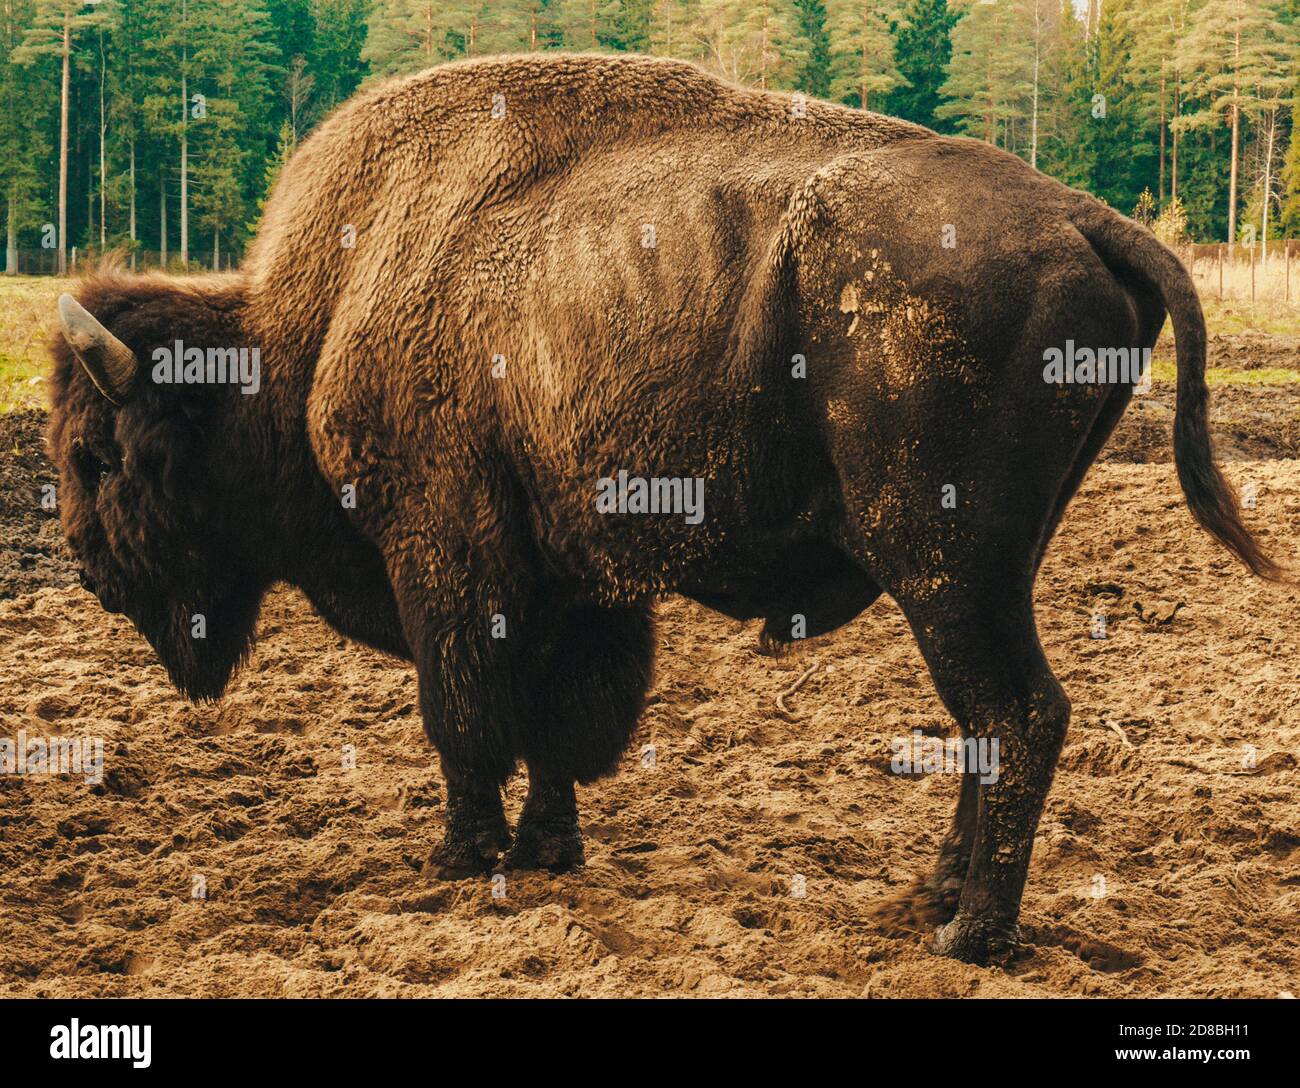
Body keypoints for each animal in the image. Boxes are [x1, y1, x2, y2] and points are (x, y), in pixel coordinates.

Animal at [48, 54, 1281, 964]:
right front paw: (547, 849)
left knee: (1019, 711)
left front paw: (460, 858)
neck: (304, 329)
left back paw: (970, 934)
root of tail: (1085, 220)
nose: (87, 570)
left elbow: (466, 714)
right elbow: (556, 719)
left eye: (99, 454)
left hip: (941, 560)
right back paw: (934, 896)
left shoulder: (444, 556)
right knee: (988, 716)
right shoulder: (569, 579)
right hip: (993, 565)